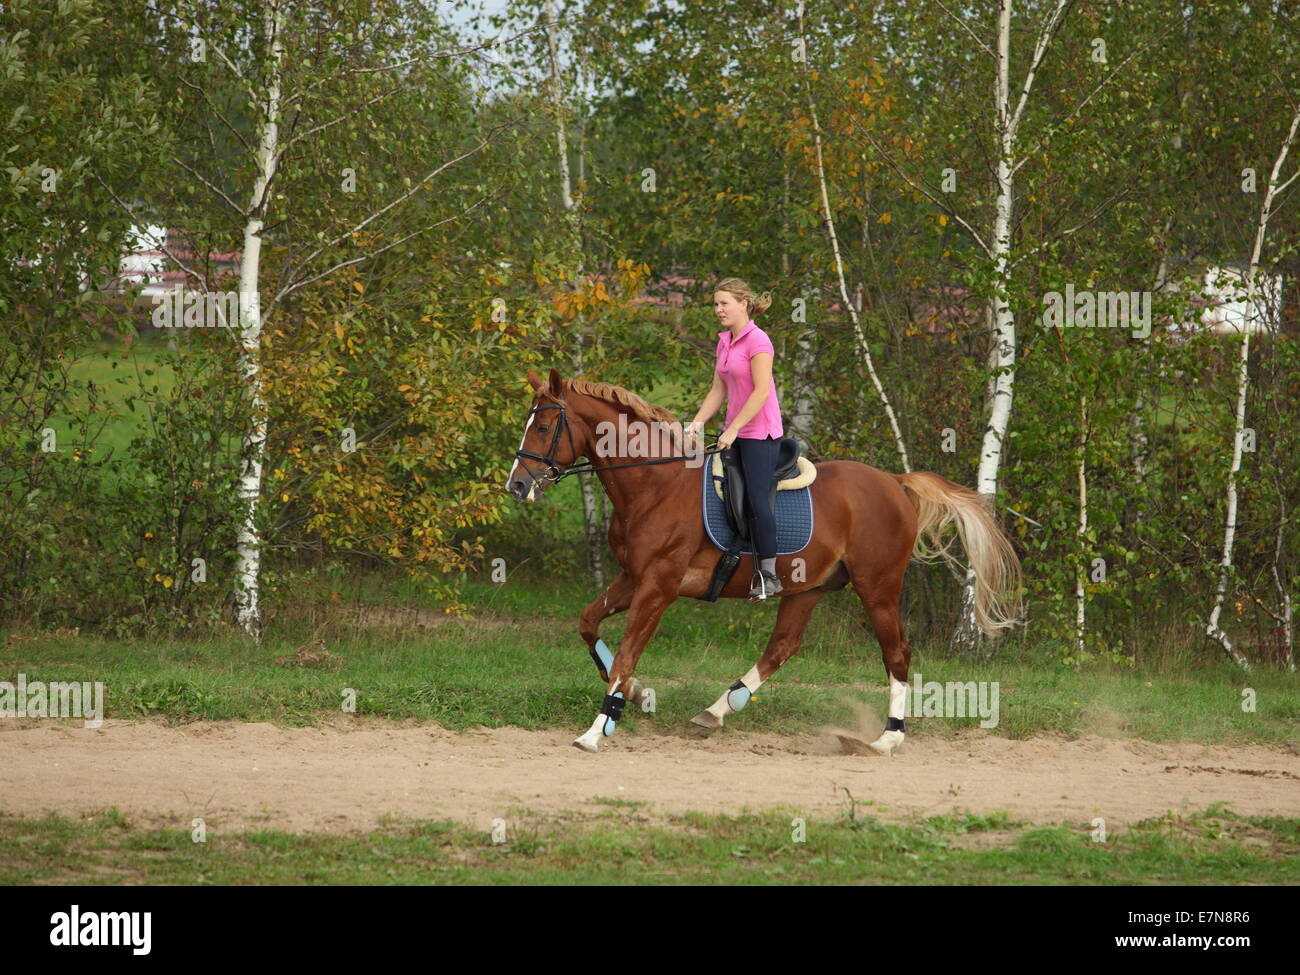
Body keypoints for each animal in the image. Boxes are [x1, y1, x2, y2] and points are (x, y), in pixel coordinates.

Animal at [507, 368, 1023, 755]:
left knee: (896, 653)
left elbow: (628, 652)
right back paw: (718, 709)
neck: (655, 484)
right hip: (807, 587)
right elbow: (589, 624)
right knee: (782, 647)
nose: (516, 485)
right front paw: (634, 694)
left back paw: (886, 739)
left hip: (877, 587)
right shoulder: (633, 578)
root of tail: (895, 483)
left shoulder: (659, 585)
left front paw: (598, 729)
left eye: (545, 427)